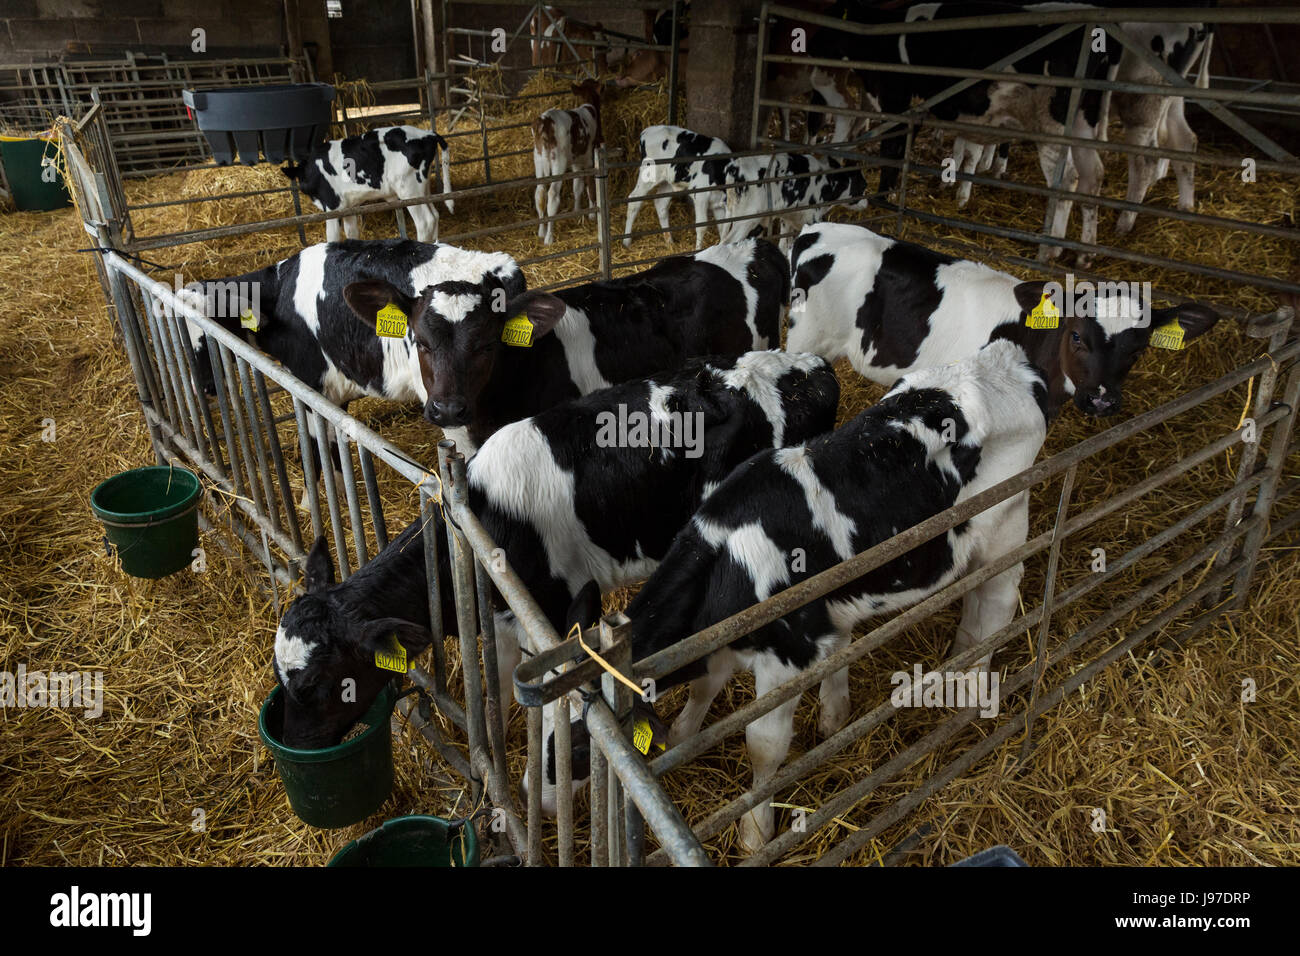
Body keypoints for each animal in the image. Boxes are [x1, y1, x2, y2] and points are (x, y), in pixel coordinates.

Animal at [273, 350, 840, 749]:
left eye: (314, 683)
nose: (293, 740)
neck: (485, 523)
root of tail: (812, 367)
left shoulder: (545, 605)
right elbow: (496, 686)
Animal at [282, 125, 452, 243]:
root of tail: (426, 134)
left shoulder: (332, 206)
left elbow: (332, 237)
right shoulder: (348, 207)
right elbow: (351, 233)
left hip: (409, 190)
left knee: (425, 221)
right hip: (423, 189)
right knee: (435, 215)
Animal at [533, 80, 603, 246]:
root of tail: (544, 121)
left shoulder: (577, 162)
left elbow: (577, 186)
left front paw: (577, 212)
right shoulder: (589, 158)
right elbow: (590, 184)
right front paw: (592, 214)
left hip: (538, 160)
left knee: (540, 192)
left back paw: (541, 232)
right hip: (558, 161)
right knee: (552, 194)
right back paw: (549, 237)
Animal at [533, 338, 1051, 850]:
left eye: (576, 744)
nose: (541, 806)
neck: (728, 559)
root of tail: (1007, 360)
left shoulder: (786, 657)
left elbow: (763, 748)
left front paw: (755, 830)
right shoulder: (732, 638)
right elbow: (704, 687)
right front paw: (683, 737)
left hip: (1008, 524)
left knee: (999, 601)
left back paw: (974, 693)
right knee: (973, 594)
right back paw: (958, 654)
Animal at [719, 151, 870, 253]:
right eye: (863, 185)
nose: (866, 203)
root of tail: (735, 167)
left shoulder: (787, 218)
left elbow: (784, 246)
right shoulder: (812, 216)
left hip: (732, 211)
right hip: (747, 218)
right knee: (728, 242)